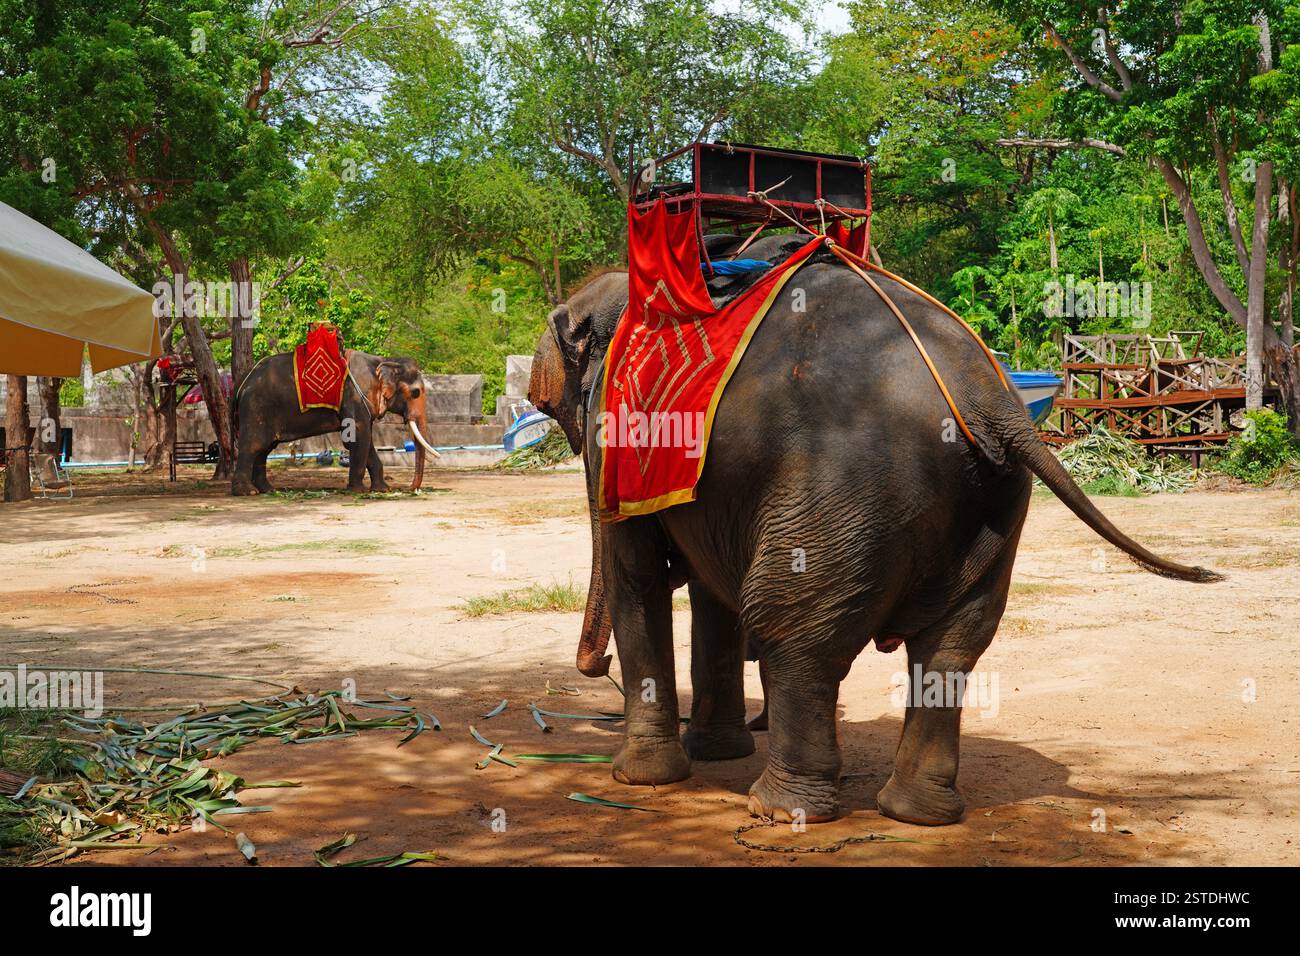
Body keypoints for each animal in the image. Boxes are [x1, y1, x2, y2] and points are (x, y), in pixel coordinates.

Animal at [231, 350, 440, 496]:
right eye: (416, 393)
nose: (411, 488)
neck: (383, 360)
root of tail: (242, 381)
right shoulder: (354, 397)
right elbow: (358, 438)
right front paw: (358, 491)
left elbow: (365, 440)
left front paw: (383, 489)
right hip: (256, 407)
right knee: (253, 445)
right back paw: (247, 492)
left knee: (264, 449)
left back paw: (268, 490)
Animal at [529, 243, 1219, 827]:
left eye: (555, 412)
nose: (594, 670)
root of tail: (990, 399)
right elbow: (702, 586)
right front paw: (714, 752)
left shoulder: (620, 443)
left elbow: (639, 574)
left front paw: (638, 779)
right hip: (993, 509)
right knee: (953, 644)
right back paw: (917, 814)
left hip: (835, 492)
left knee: (792, 628)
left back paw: (782, 811)